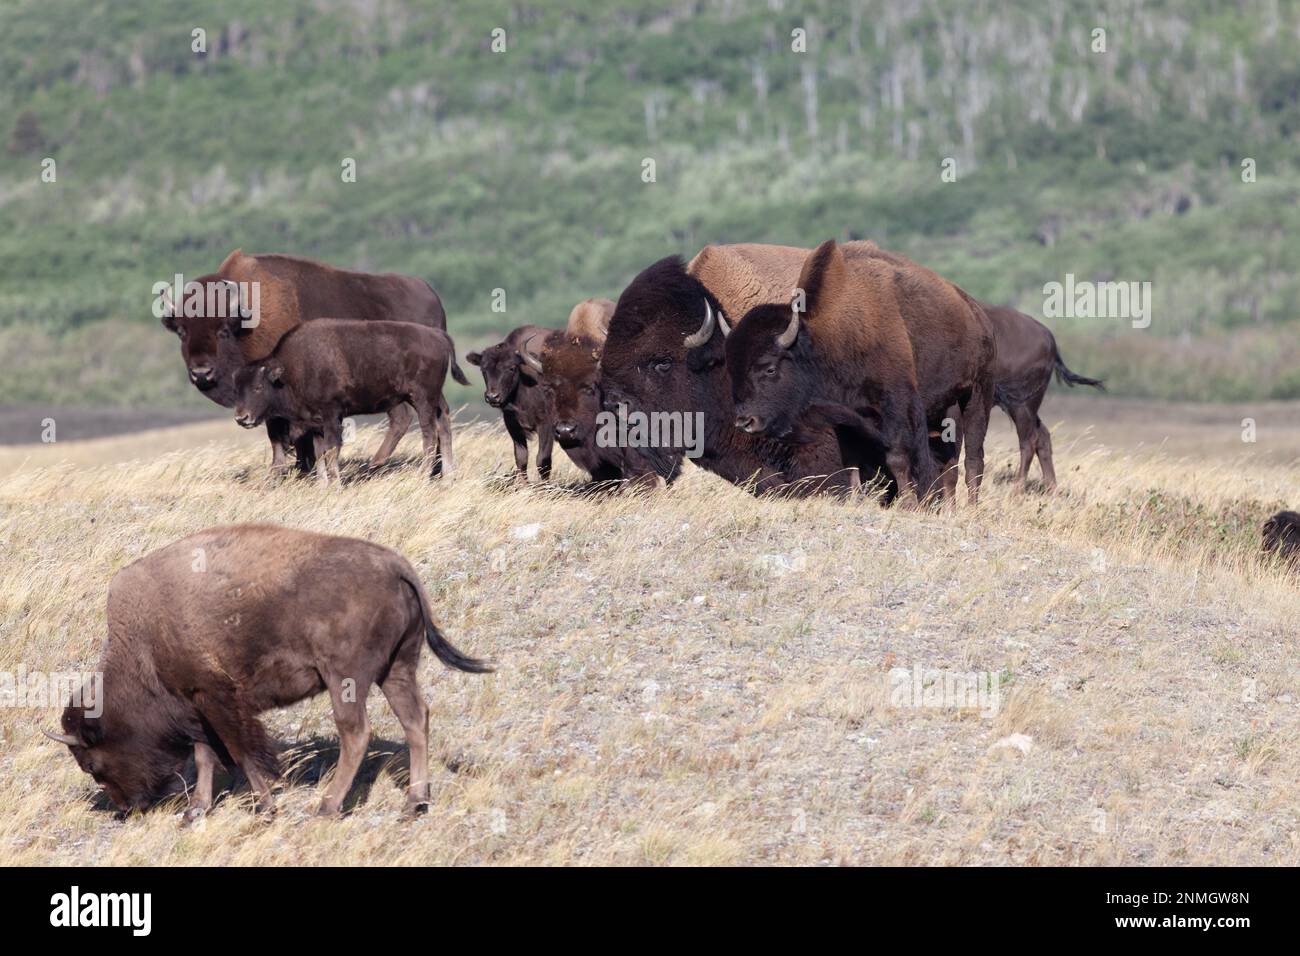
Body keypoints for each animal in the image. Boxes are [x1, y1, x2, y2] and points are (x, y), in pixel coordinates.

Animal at [46, 525, 491, 819]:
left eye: (93, 764)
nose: (127, 808)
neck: (144, 643)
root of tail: (395, 565)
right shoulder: (199, 707)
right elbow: (206, 757)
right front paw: (196, 811)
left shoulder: (216, 701)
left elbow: (241, 754)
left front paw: (265, 807)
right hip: (397, 668)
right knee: (415, 720)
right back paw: (415, 802)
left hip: (345, 679)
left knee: (356, 733)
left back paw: (327, 807)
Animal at [161, 249, 448, 473]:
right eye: (182, 332)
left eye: (222, 330)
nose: (201, 372)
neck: (247, 321)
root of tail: (432, 296)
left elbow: (286, 433)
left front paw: (290, 469)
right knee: (406, 417)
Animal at [232, 319, 468, 482]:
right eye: (237, 390)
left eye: (258, 387)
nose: (242, 418)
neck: (290, 371)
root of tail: (438, 335)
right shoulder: (315, 423)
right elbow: (320, 453)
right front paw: (323, 485)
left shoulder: (331, 417)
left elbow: (331, 450)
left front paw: (335, 485)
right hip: (431, 399)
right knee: (444, 426)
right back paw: (448, 477)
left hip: (422, 399)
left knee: (430, 434)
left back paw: (422, 477)